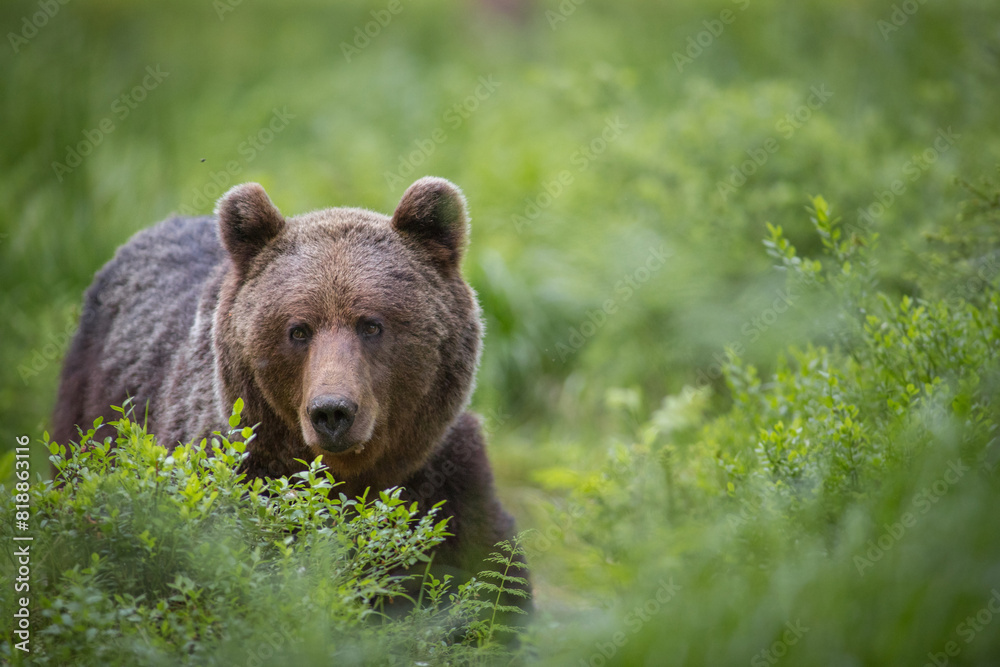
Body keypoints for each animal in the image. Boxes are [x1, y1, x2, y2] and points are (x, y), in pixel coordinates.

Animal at [52, 176, 529, 612]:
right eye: (298, 330)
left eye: (371, 324)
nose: (332, 412)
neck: (351, 476)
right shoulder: (233, 475)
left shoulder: (441, 481)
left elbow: (486, 580)